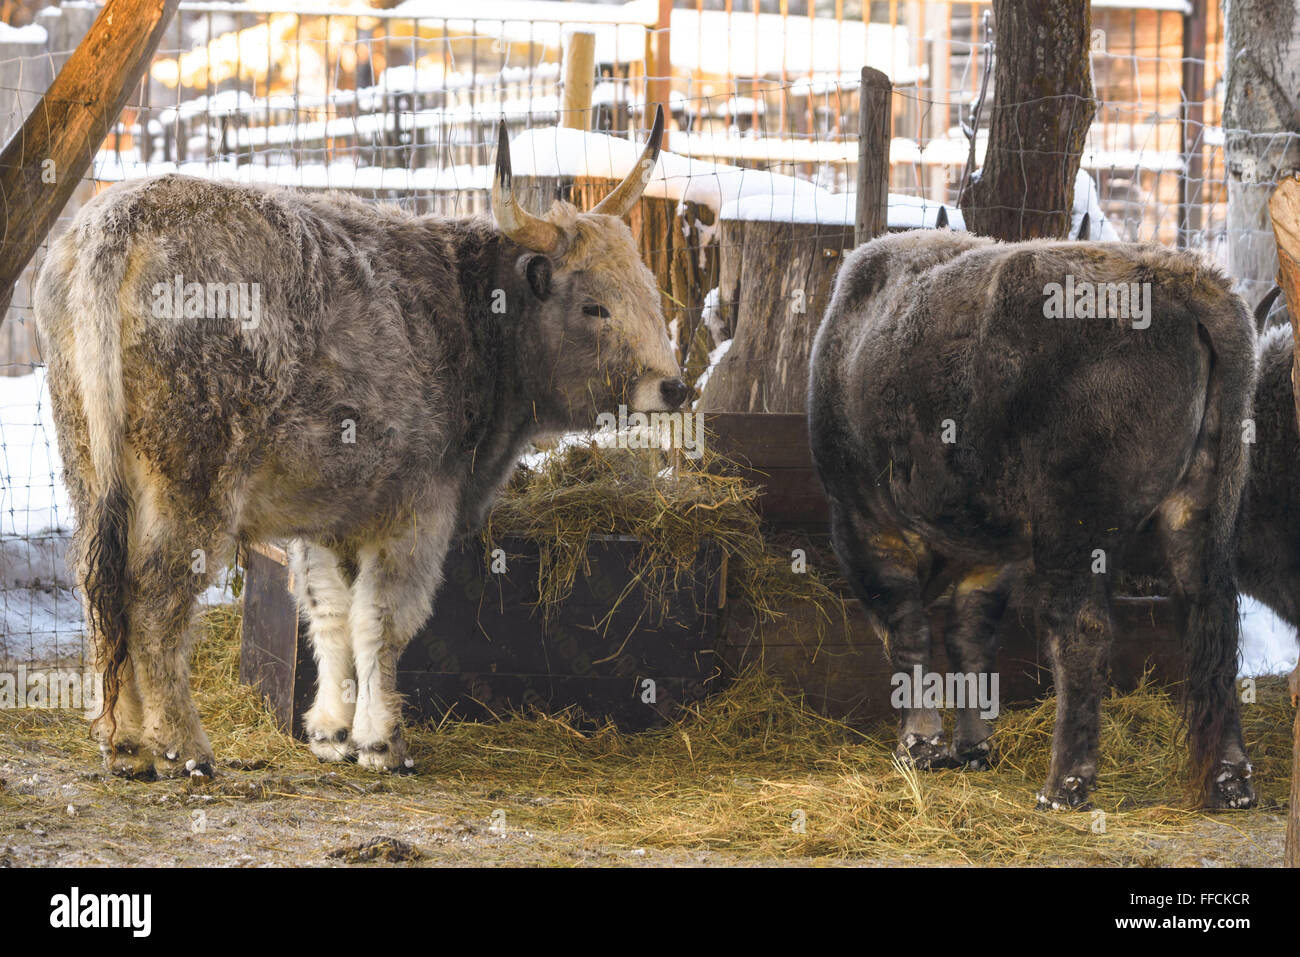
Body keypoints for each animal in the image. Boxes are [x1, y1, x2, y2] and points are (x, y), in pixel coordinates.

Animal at [34, 110, 686, 778]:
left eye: (648, 290)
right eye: (595, 306)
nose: (674, 386)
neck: (469, 313)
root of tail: (124, 219)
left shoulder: (329, 515)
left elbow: (329, 615)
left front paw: (330, 729)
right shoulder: (418, 509)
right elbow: (380, 619)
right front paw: (380, 739)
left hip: (90, 471)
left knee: (102, 590)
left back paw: (124, 741)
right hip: (191, 489)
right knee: (154, 599)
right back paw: (182, 746)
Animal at [808, 229, 1258, 810]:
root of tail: (1177, 277)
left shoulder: (864, 526)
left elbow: (909, 633)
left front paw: (921, 745)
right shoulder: (992, 550)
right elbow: (970, 637)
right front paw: (972, 745)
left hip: (1073, 527)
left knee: (1081, 633)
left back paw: (1063, 785)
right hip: (1200, 510)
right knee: (1211, 623)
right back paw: (1231, 781)